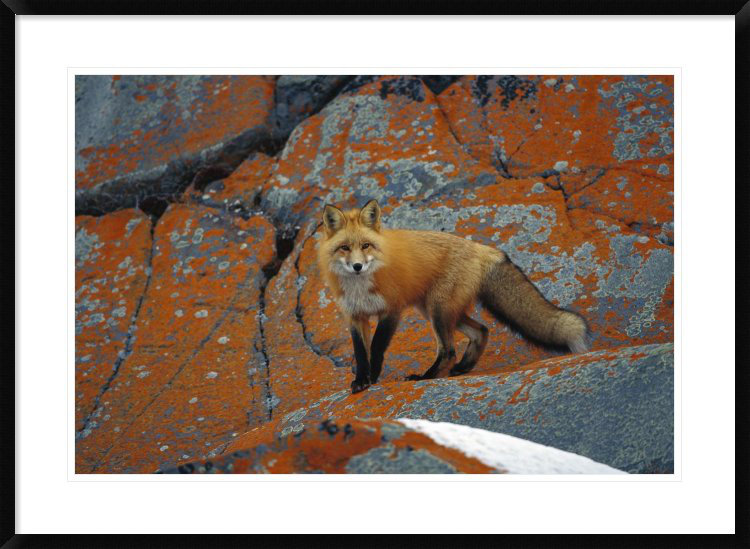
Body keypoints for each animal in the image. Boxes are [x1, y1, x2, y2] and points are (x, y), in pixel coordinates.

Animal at [317, 199, 589, 394]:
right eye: (344, 248)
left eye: (365, 246)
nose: (357, 266)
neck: (360, 286)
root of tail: (481, 247)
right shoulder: (355, 316)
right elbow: (360, 353)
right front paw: (361, 381)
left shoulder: (391, 311)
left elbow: (375, 348)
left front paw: (373, 378)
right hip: (436, 310)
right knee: (481, 331)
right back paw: (462, 368)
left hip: (437, 310)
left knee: (448, 350)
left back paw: (425, 377)